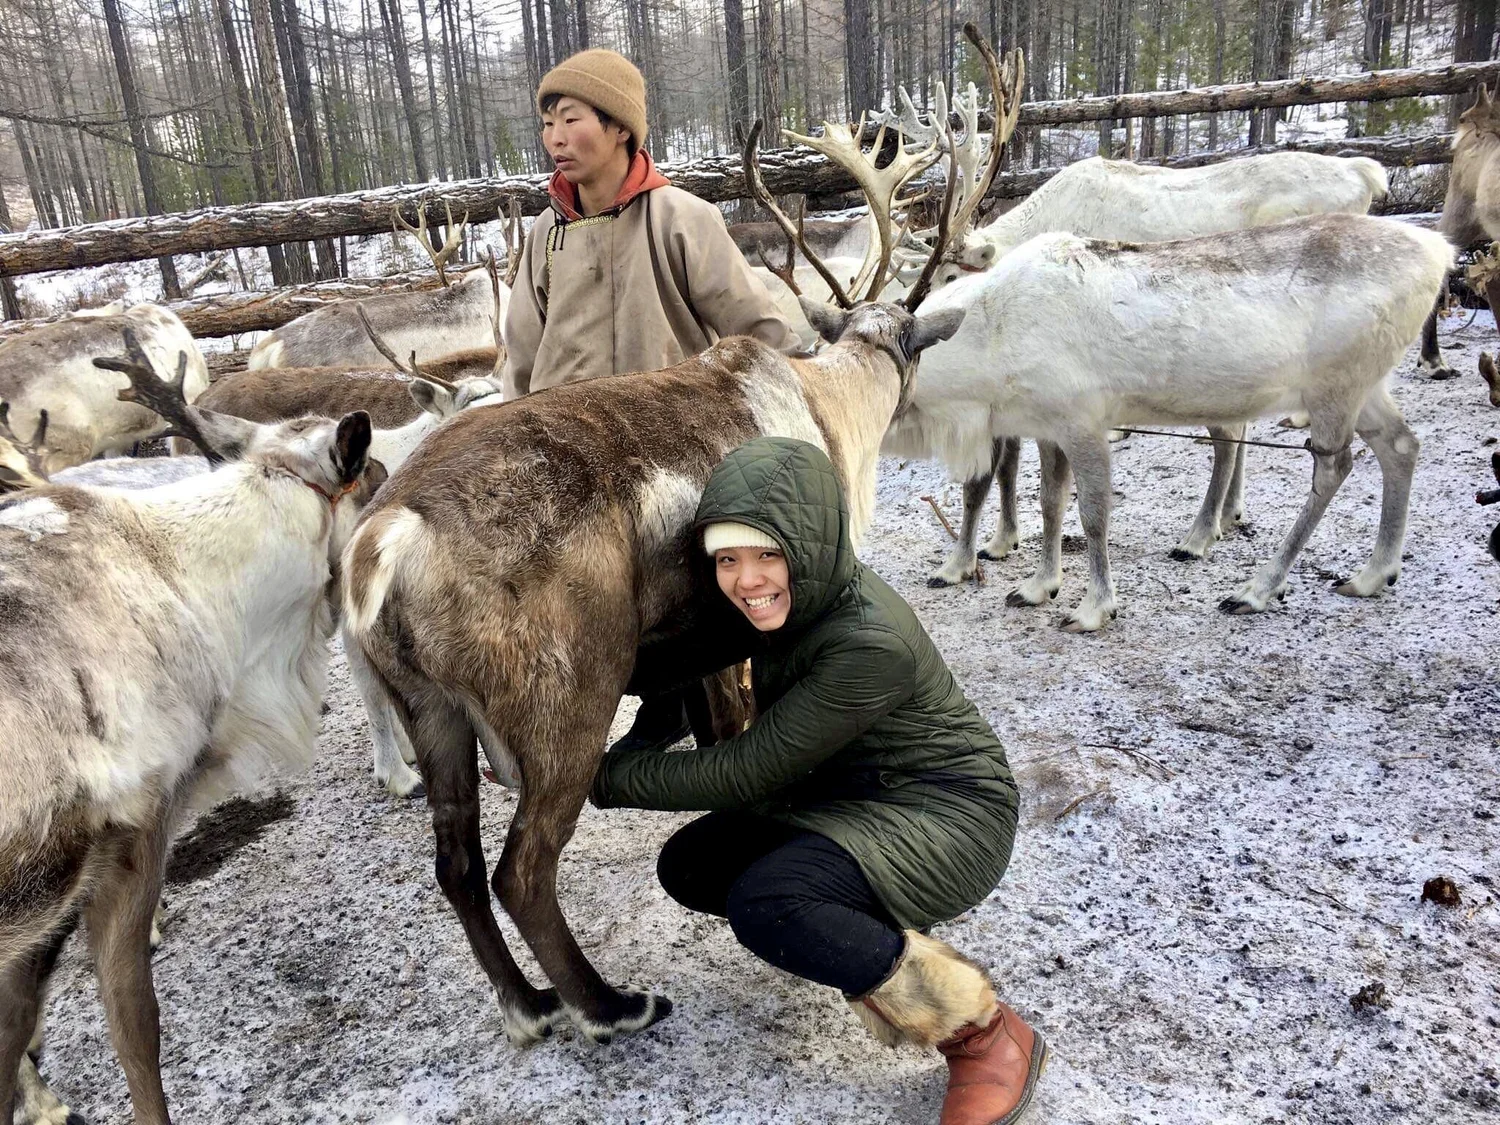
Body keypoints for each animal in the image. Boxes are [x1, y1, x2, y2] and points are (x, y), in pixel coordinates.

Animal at [337, 75, 980, 1044]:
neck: (834, 410)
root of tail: (387, 540)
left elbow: (719, 738)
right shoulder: (747, 629)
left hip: (433, 709)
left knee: (455, 863)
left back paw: (528, 1005)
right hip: (566, 693)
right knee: (522, 867)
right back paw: (608, 1003)